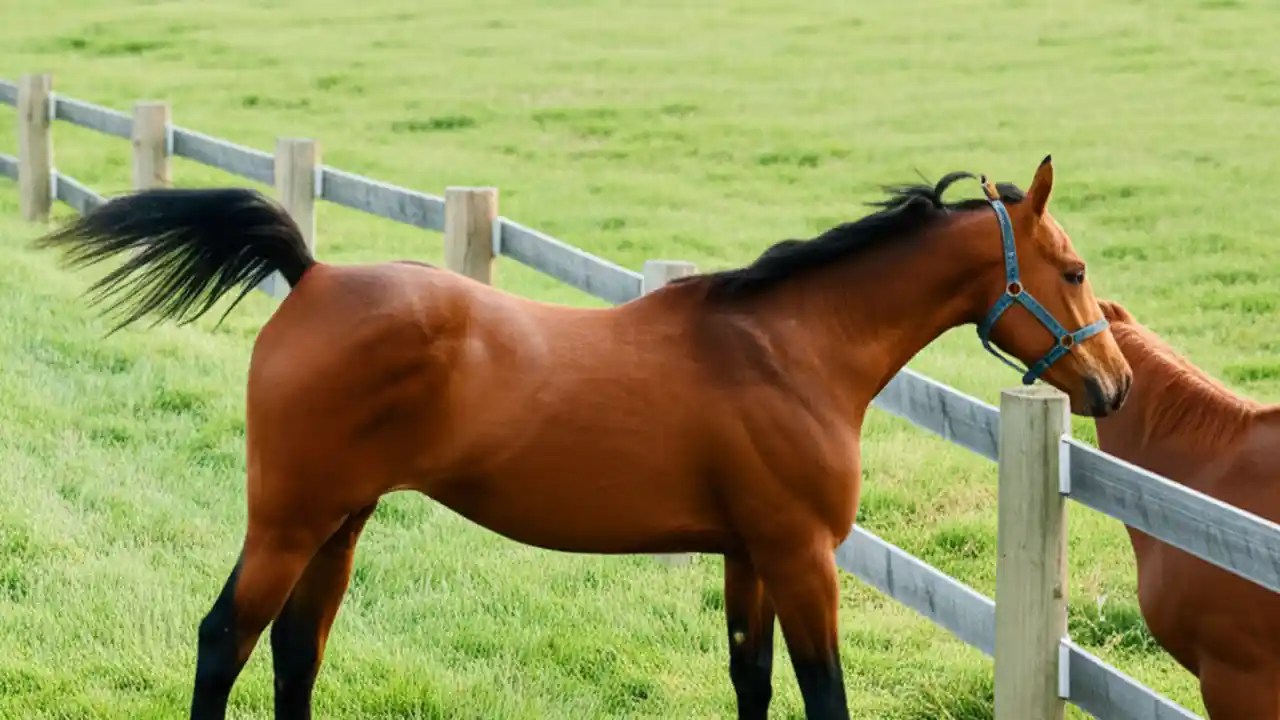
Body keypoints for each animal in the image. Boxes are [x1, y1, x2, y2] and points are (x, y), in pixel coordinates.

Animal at [36, 156, 1131, 720]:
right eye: (1075, 270)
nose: (1113, 386)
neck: (787, 347)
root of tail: (312, 275)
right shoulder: (799, 556)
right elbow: (822, 695)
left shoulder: (748, 555)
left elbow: (752, 680)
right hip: (289, 520)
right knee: (226, 639)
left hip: (340, 522)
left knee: (296, 648)